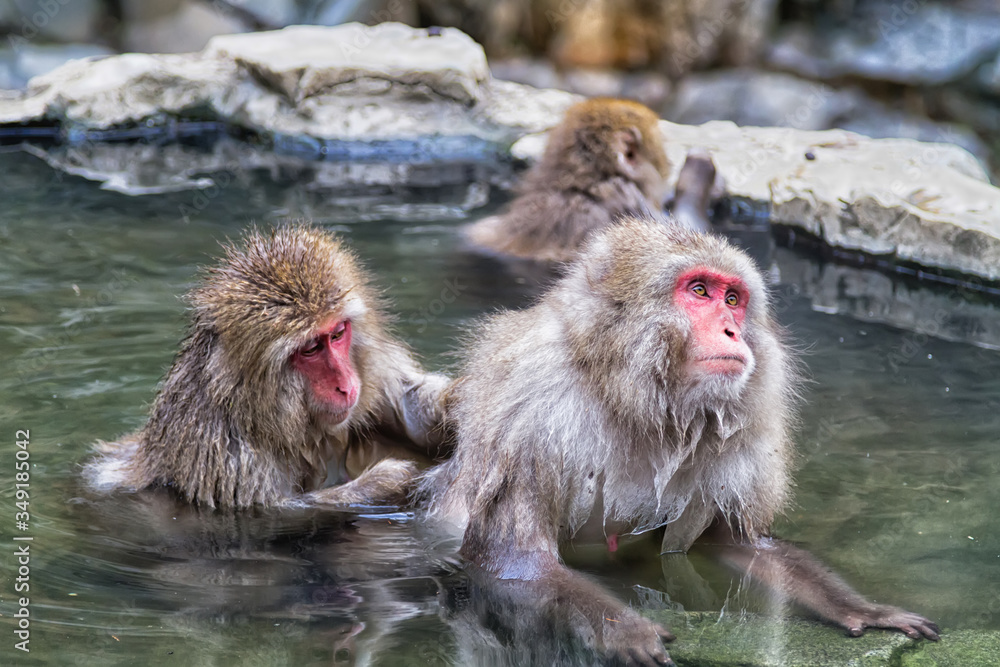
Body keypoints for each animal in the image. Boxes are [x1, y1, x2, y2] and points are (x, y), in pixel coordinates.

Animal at [84, 225, 451, 509]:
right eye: (311, 349)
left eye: (337, 334)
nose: (346, 385)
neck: (259, 415)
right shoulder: (226, 456)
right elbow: (275, 512)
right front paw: (390, 479)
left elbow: (405, 395)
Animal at [421, 218, 939, 664]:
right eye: (699, 291)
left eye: (733, 298)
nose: (731, 330)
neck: (631, 396)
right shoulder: (526, 409)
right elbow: (517, 560)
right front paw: (622, 627)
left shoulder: (743, 431)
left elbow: (735, 542)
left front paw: (860, 610)